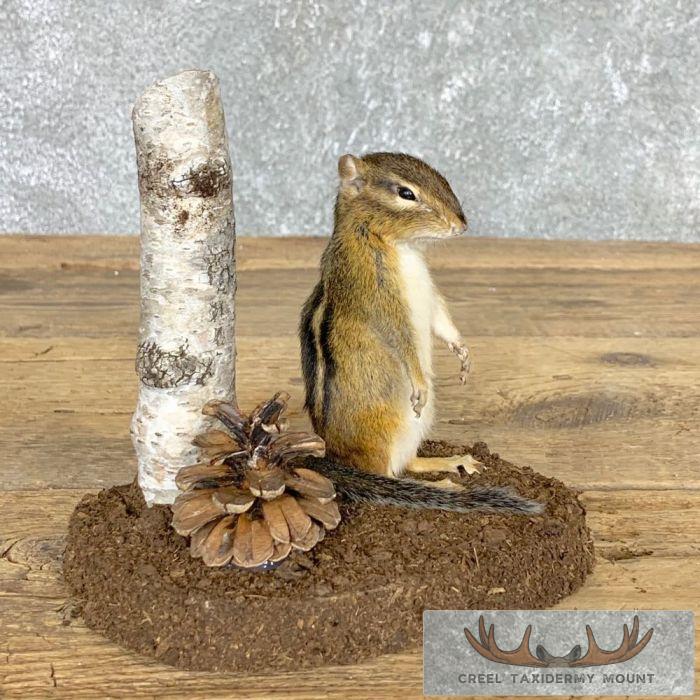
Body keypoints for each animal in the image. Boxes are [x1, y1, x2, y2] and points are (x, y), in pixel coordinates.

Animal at [299, 152, 542, 515]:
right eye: (406, 193)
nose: (461, 226)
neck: (398, 245)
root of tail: (336, 459)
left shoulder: (431, 294)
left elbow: (441, 320)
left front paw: (463, 352)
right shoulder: (380, 298)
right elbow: (402, 341)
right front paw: (418, 380)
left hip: (418, 426)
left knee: (408, 463)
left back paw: (452, 462)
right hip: (385, 430)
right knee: (388, 475)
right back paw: (441, 485)